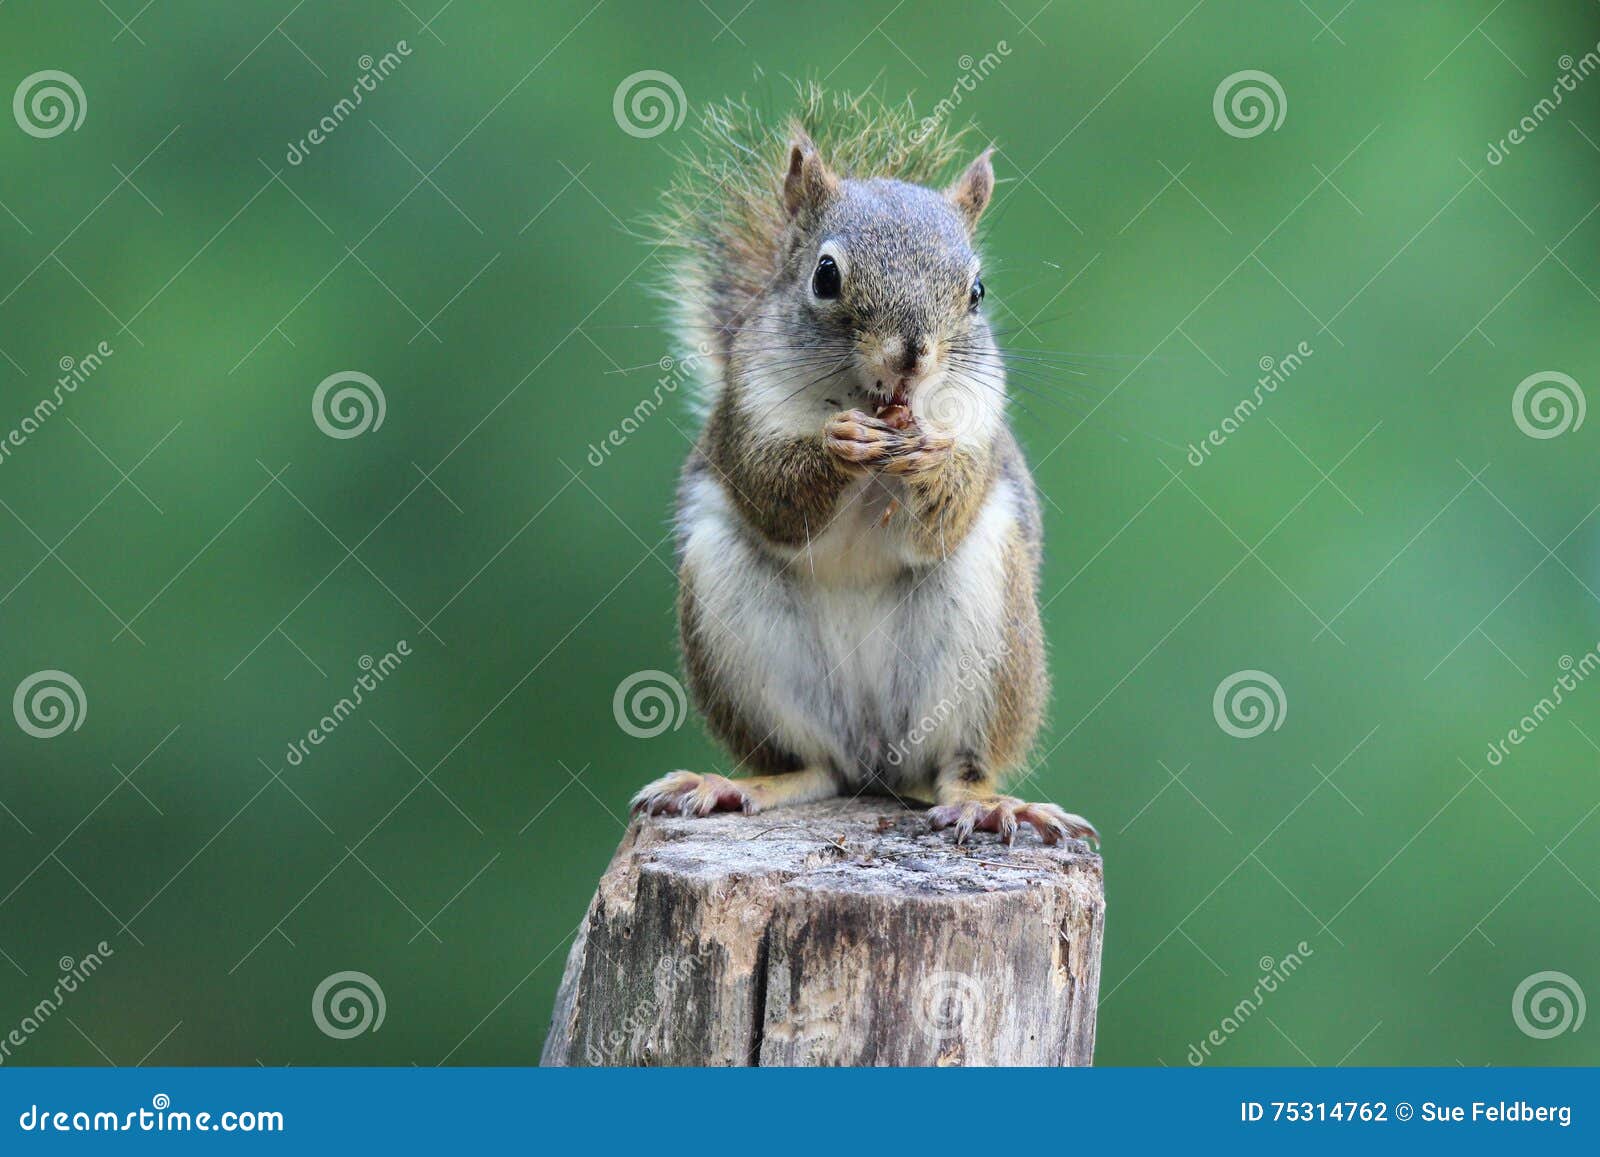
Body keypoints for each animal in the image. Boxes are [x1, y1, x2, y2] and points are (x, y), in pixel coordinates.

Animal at [630, 87, 1097, 847]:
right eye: (825, 275)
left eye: (977, 290)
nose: (911, 354)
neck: (873, 403)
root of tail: (877, 762)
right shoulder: (743, 418)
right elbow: (773, 493)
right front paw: (835, 445)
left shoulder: (980, 429)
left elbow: (946, 512)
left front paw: (930, 461)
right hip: (737, 631)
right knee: (810, 766)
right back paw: (738, 784)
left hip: (991, 650)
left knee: (959, 766)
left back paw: (988, 803)